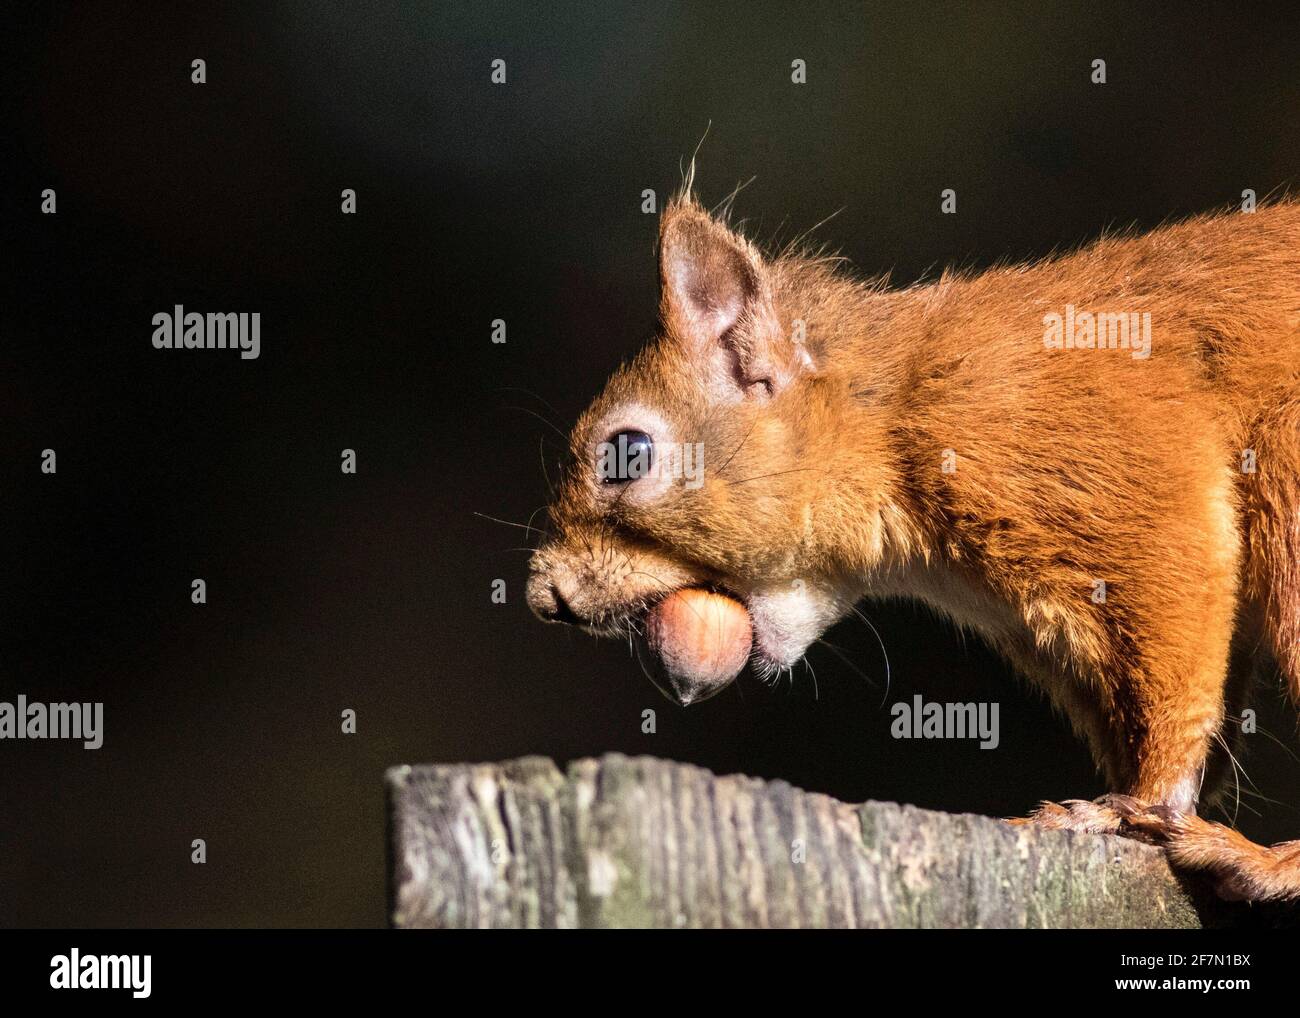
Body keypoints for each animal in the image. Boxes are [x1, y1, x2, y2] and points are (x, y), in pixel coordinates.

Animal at [525, 182, 1300, 903]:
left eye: (627, 452)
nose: (544, 596)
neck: (897, 404)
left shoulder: (1121, 470)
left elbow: (1176, 659)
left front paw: (1128, 808)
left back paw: (1264, 862)